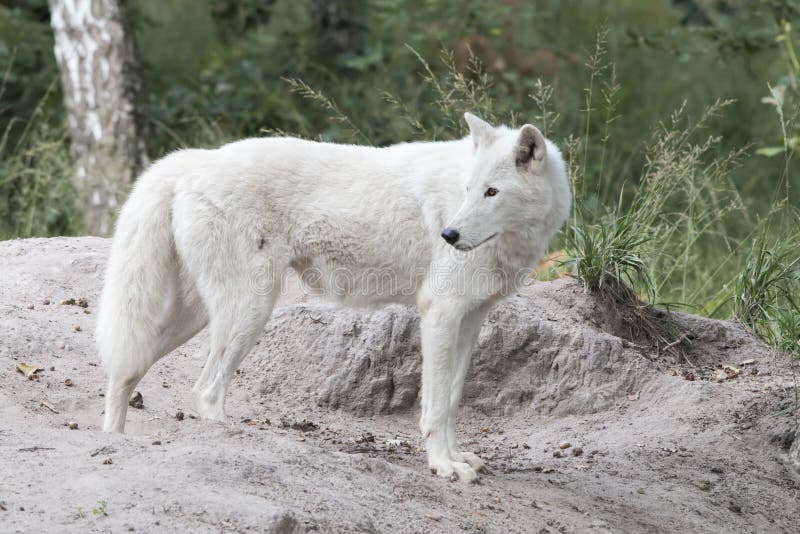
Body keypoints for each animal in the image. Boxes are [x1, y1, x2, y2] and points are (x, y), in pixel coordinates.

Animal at [96, 112, 570, 482]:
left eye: (491, 191)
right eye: (470, 189)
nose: (449, 235)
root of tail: (195, 158)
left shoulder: (470, 320)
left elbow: (451, 399)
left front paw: (456, 458)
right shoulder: (439, 314)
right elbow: (435, 406)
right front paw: (442, 465)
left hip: (194, 318)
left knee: (126, 369)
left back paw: (113, 442)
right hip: (248, 312)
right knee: (205, 390)